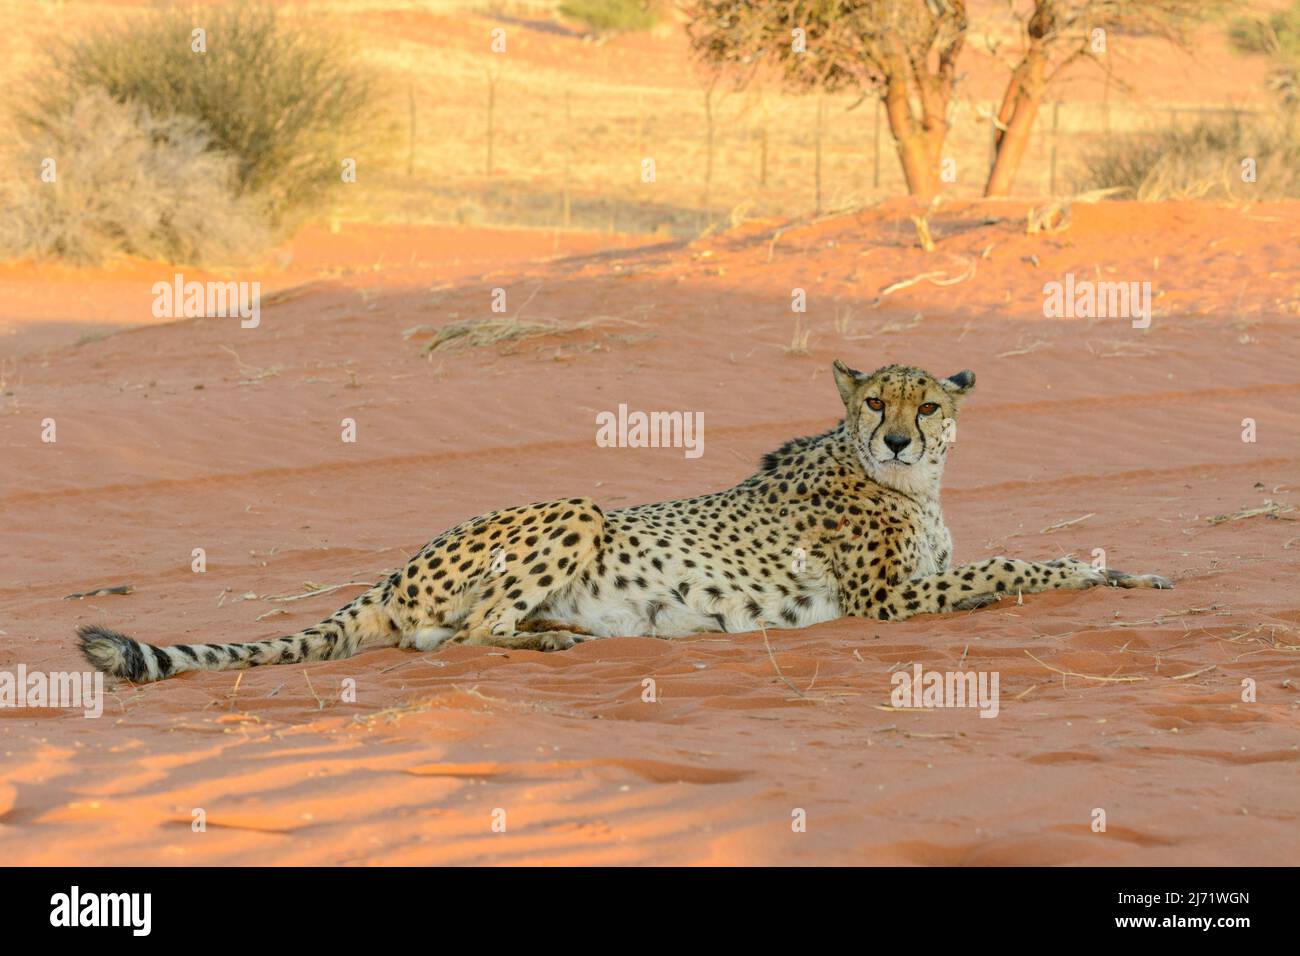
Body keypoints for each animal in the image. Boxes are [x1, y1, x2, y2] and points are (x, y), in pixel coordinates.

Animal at [78, 360, 1171, 683]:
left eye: (929, 404)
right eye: (876, 403)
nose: (901, 439)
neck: (905, 484)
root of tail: (390, 571)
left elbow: (1011, 558)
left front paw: (1127, 570)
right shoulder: (889, 602)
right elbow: (1019, 566)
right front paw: (1100, 570)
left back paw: (566, 632)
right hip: (578, 506)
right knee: (459, 635)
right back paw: (555, 639)